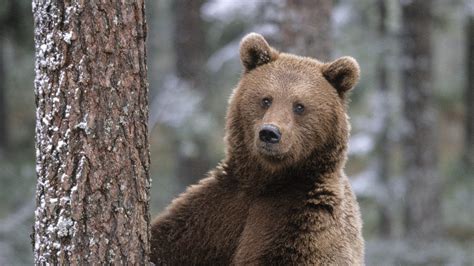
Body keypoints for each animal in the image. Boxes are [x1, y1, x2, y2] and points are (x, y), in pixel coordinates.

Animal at [150, 32, 364, 264]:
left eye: (299, 106)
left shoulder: (303, 220)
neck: (267, 180)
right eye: (266, 100)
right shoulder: (217, 211)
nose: (270, 133)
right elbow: (169, 240)